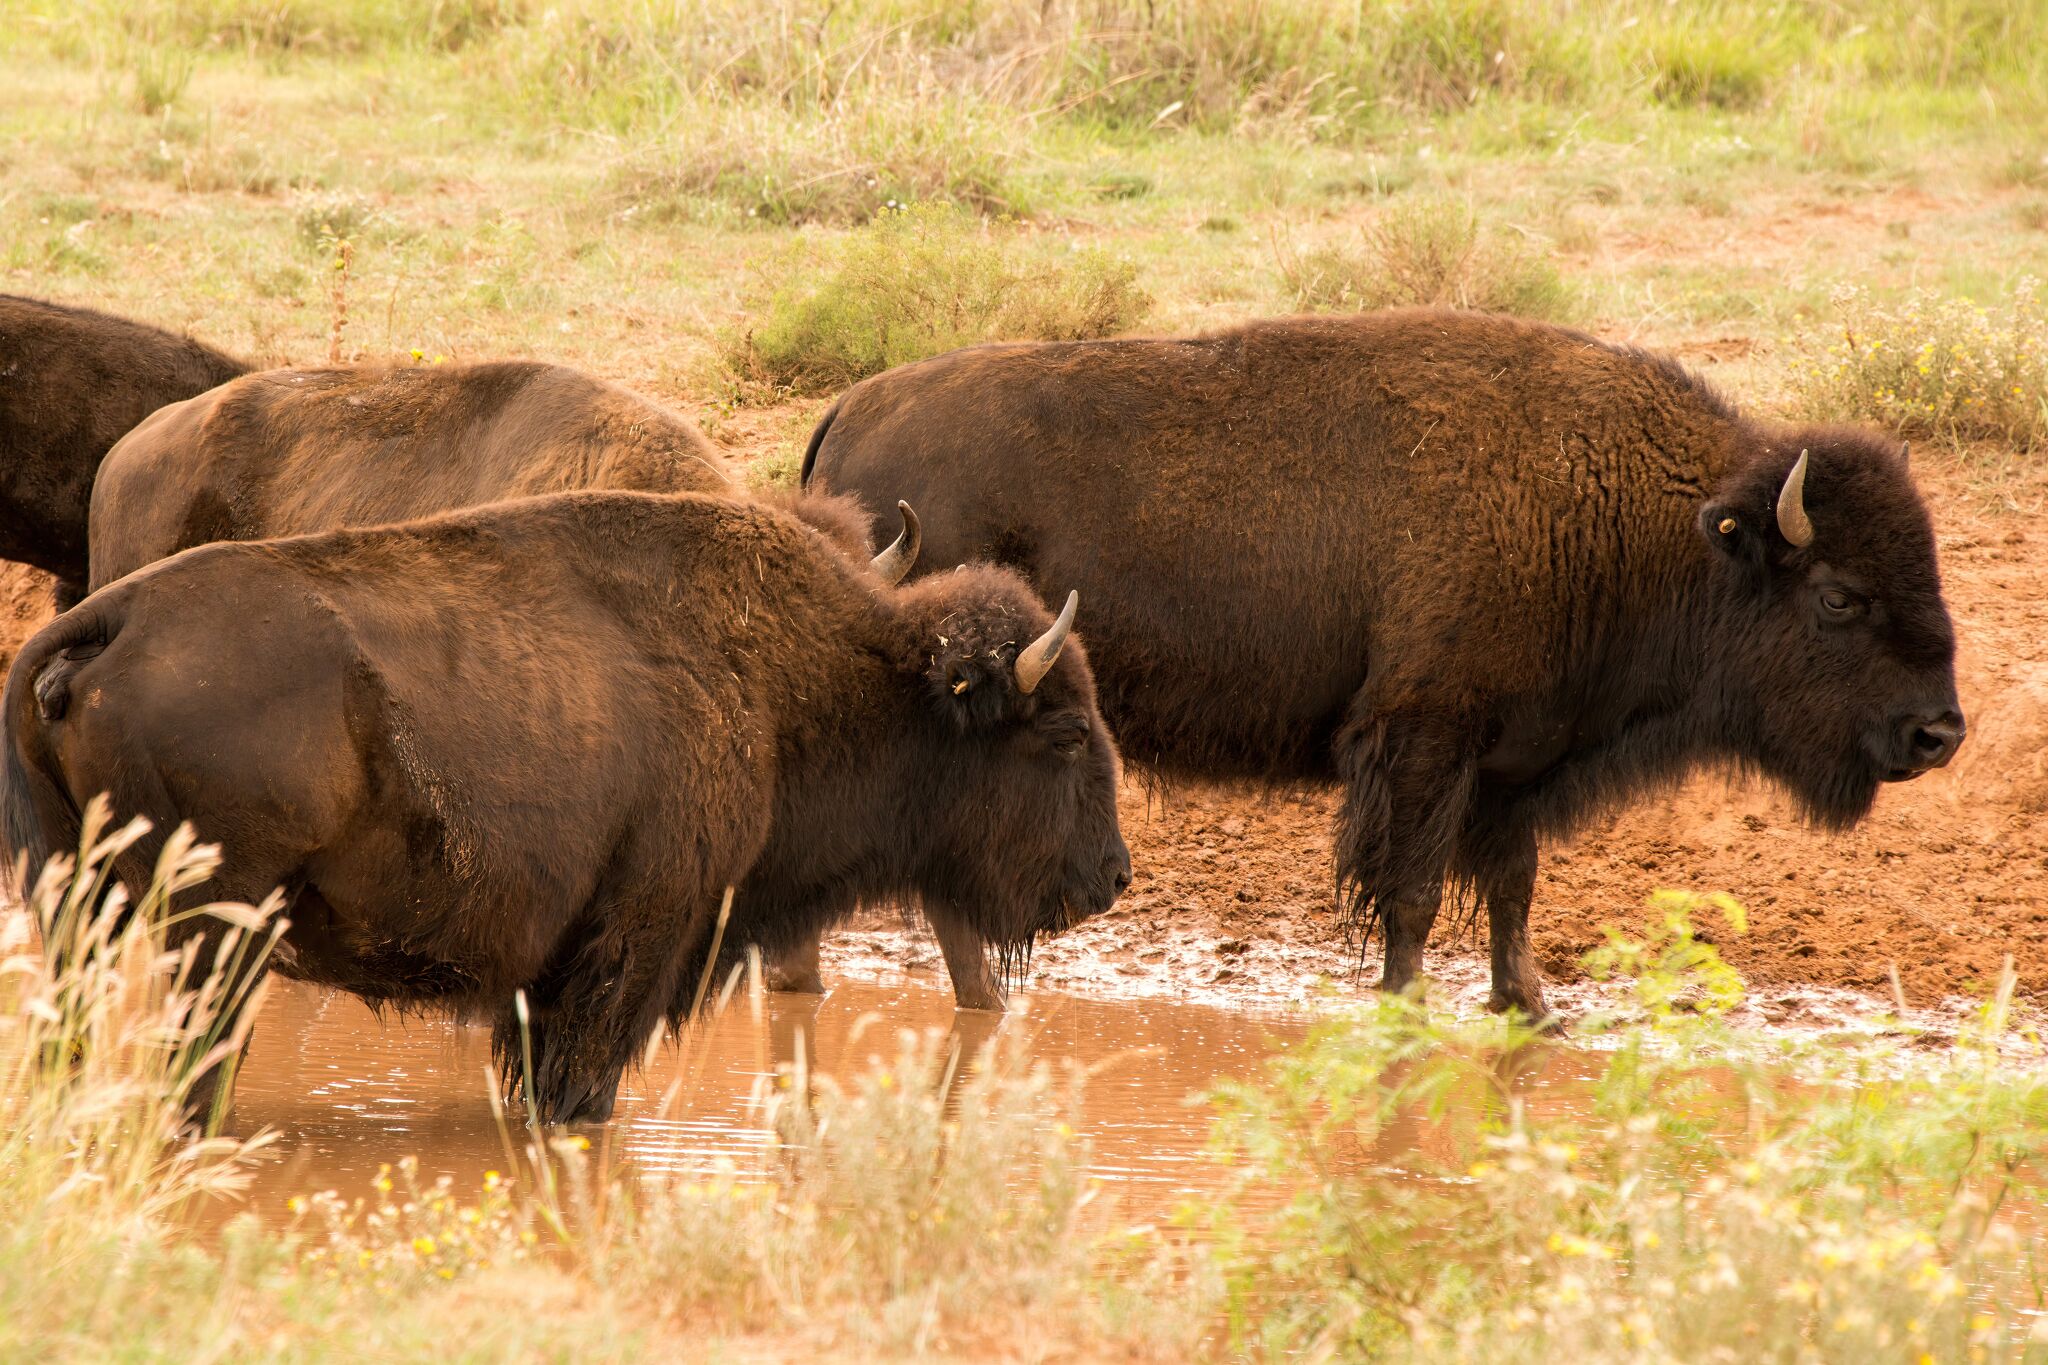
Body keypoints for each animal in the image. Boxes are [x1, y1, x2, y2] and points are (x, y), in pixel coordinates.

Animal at [3, 491, 1129, 1123]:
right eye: (1066, 733)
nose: (1113, 875)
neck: (797, 687)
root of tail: (108, 617)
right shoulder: (634, 944)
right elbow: (580, 1092)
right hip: (214, 929)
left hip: (76, 906)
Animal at [802, 308, 1965, 1020]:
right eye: (1839, 596)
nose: (1937, 731)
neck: (1644, 521)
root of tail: (849, 411)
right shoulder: (1422, 743)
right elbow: (1410, 890)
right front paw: (1406, 1007)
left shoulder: (1513, 766)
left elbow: (1509, 886)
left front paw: (1530, 1010)